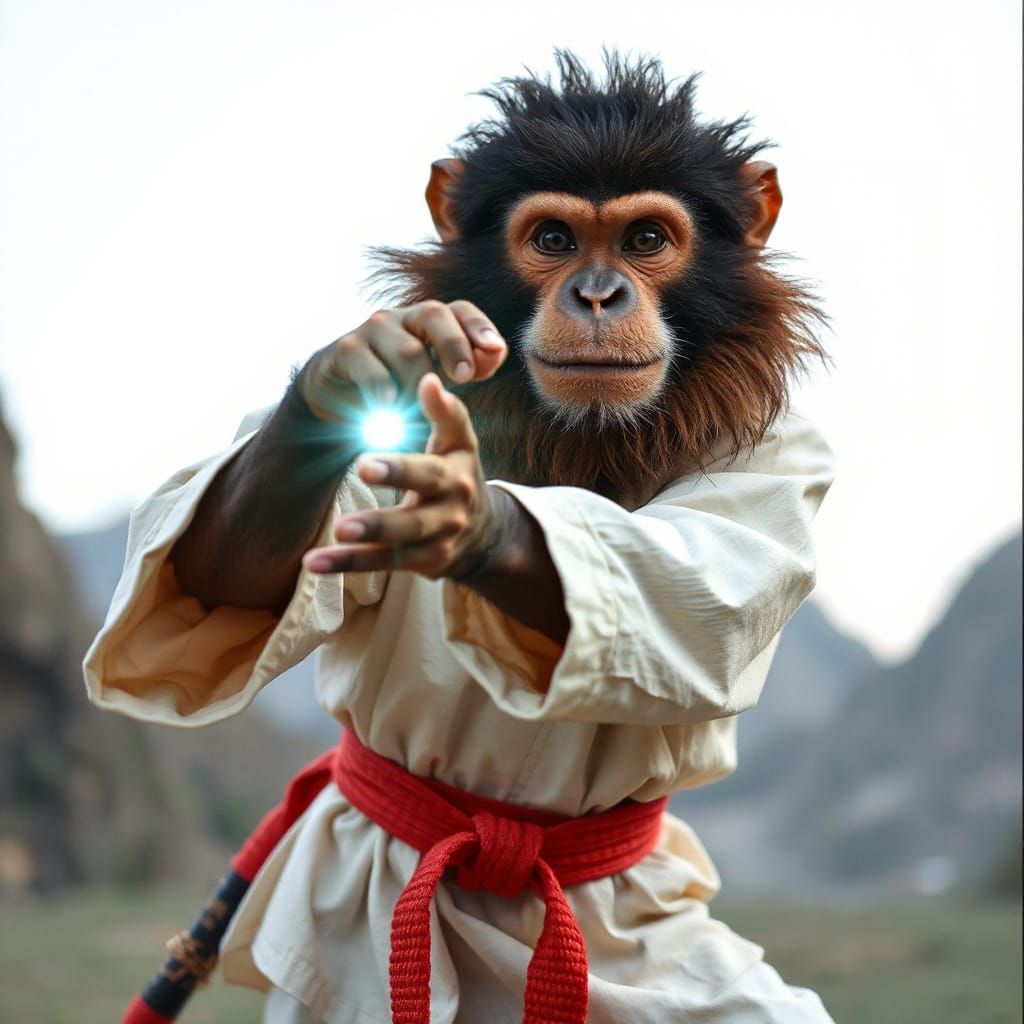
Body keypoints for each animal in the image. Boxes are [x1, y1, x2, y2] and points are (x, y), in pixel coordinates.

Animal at [90, 52, 836, 1024]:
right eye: (554, 239)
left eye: (645, 240)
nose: (599, 293)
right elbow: (223, 581)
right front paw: (347, 380)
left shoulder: (789, 455)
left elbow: (696, 596)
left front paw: (473, 521)